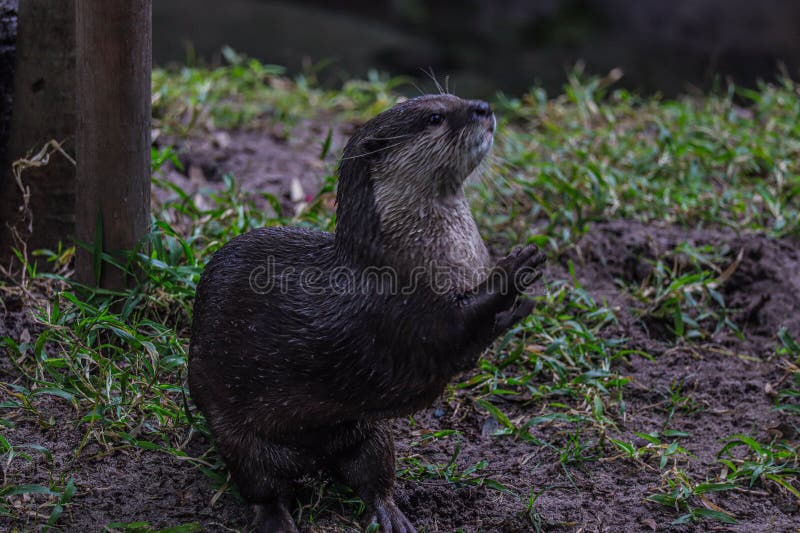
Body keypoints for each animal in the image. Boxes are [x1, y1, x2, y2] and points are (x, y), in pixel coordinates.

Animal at [188, 94, 546, 532]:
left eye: (456, 99)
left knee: (372, 475)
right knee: (264, 487)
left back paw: (392, 516)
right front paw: (513, 271)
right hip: (236, 434)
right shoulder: (400, 314)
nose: (482, 107)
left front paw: (518, 305)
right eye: (436, 117)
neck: (421, 259)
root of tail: (310, 462)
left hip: (369, 432)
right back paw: (279, 519)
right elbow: (453, 336)